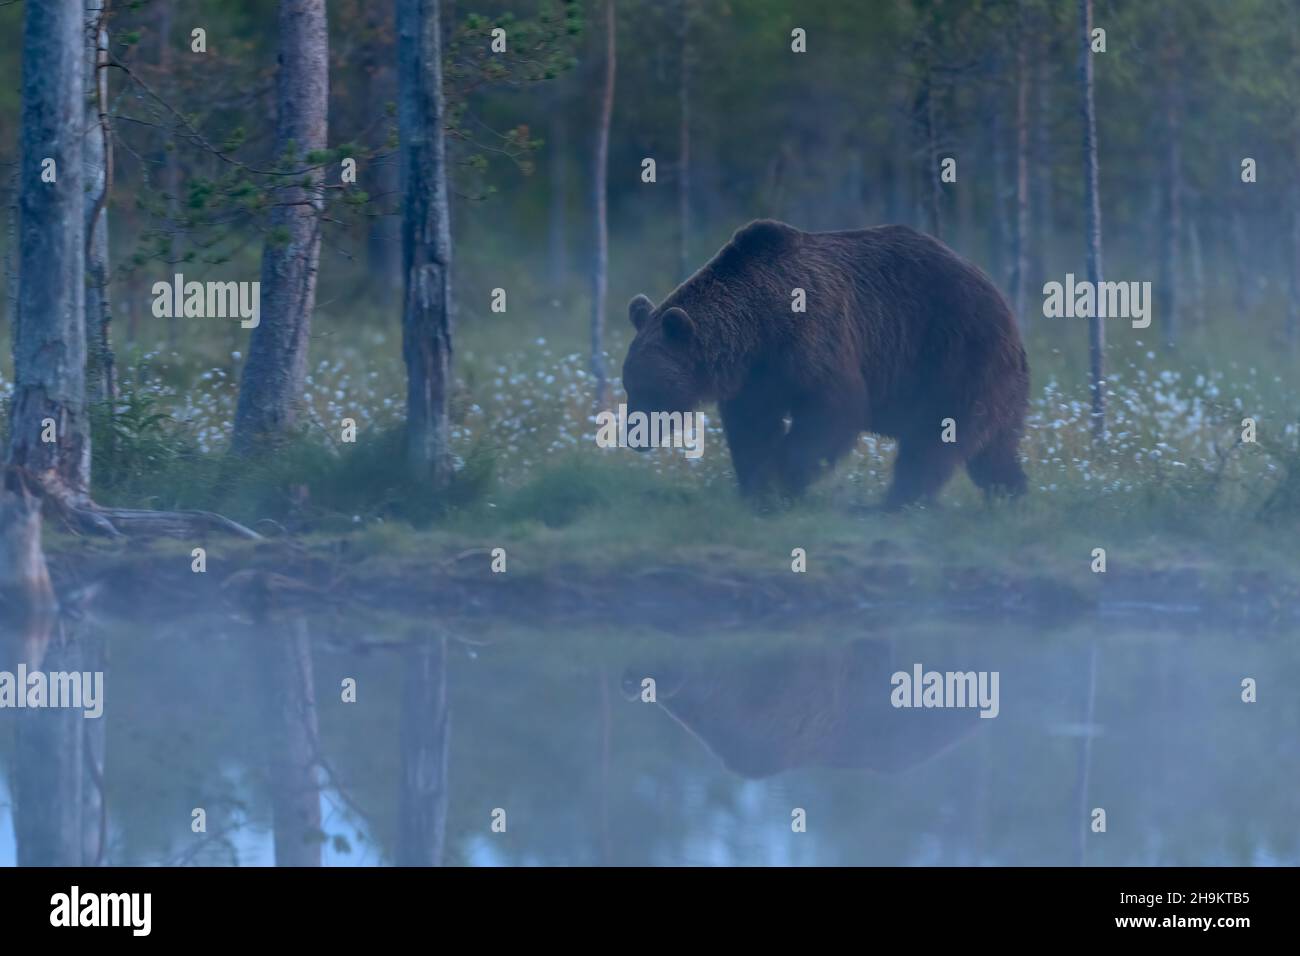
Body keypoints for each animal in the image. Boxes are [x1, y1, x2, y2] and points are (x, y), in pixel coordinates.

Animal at [622, 219, 1029, 508]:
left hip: (957, 357)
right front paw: (756, 485)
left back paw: (897, 502)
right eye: (628, 384)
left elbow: (832, 412)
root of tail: (1008, 311)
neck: (757, 327)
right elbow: (752, 427)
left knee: (934, 440)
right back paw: (1011, 497)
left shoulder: (813, 336)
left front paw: (778, 482)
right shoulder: (757, 376)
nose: (634, 436)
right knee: (994, 450)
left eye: (651, 387)